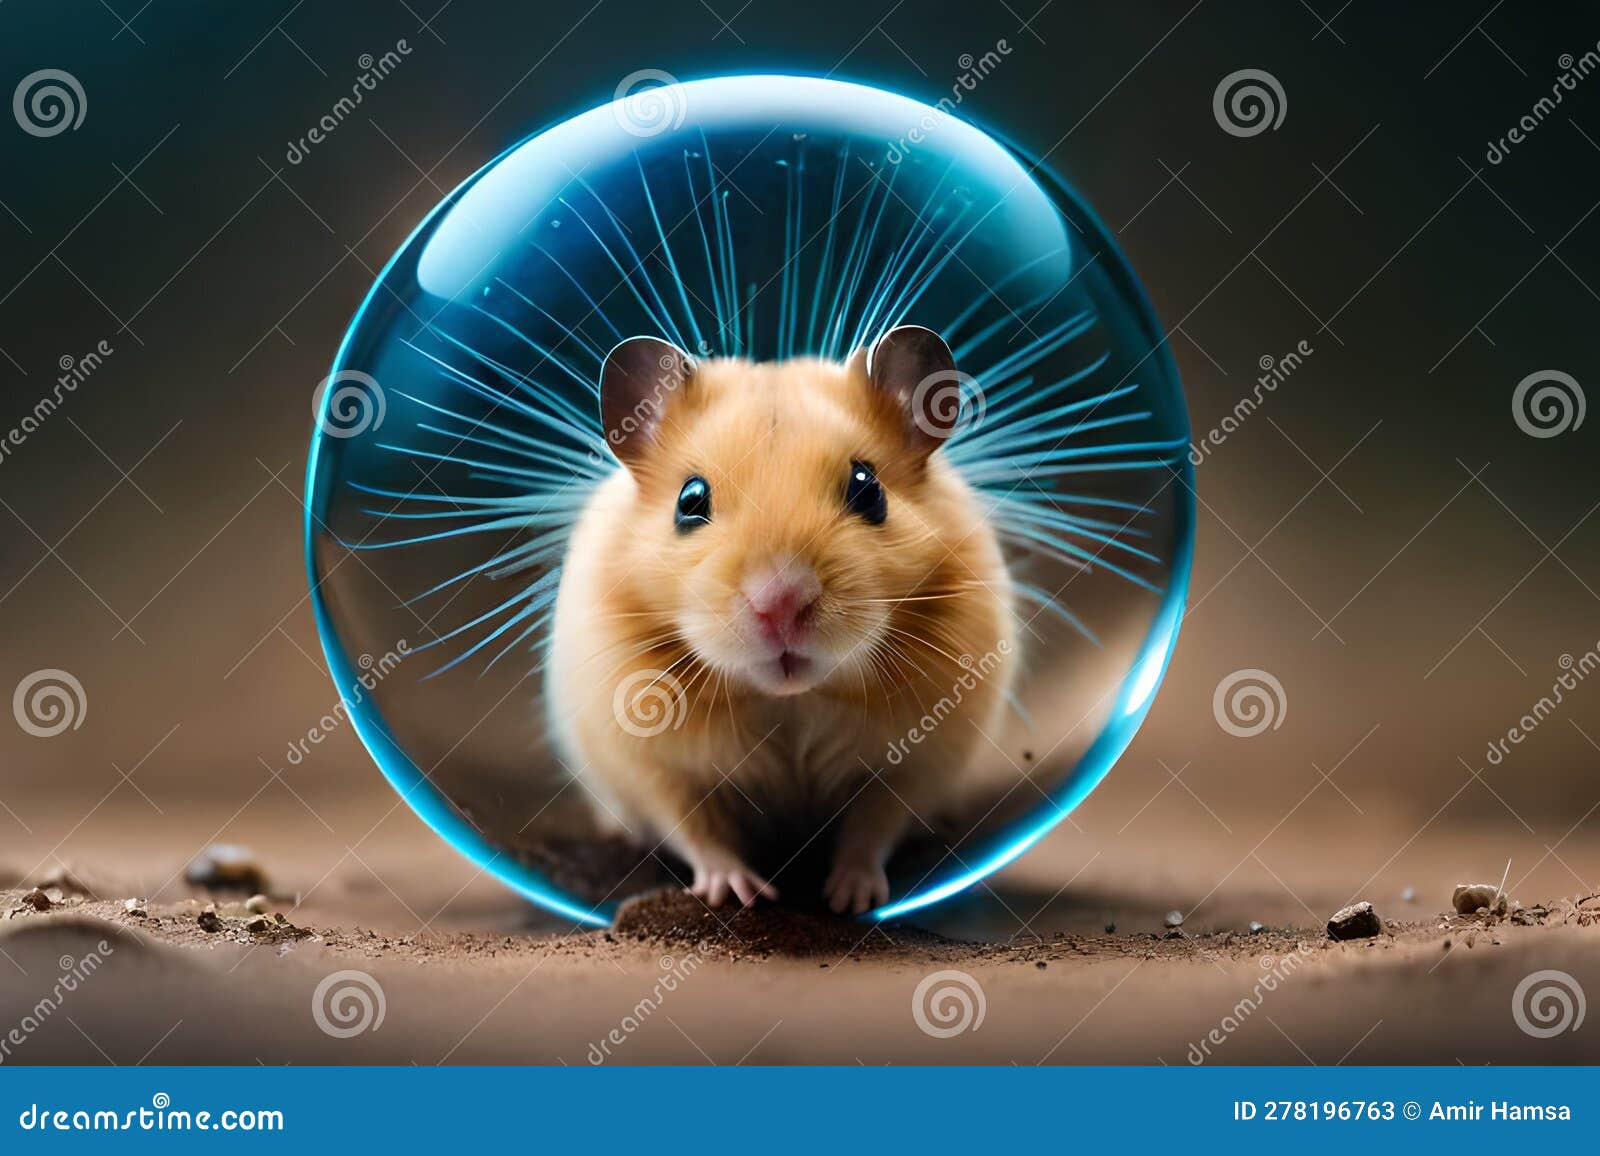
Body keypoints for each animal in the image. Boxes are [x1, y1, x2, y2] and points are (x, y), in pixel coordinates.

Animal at [546, 325, 1016, 914]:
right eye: (690, 500)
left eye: (868, 488)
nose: (781, 600)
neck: (788, 703)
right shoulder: (651, 764)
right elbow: (697, 829)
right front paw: (742, 896)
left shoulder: (917, 762)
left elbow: (874, 827)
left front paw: (848, 900)